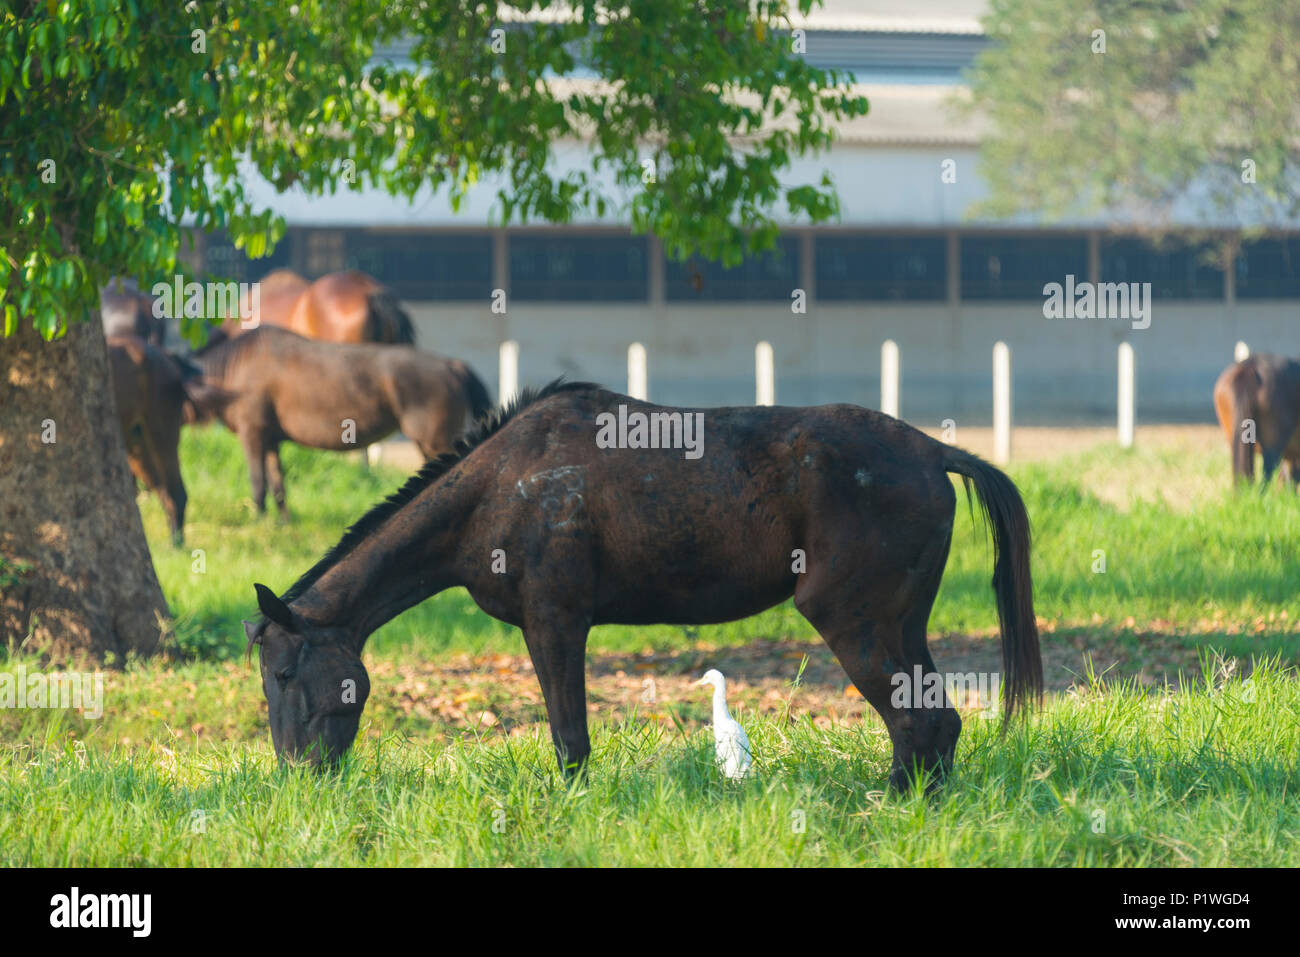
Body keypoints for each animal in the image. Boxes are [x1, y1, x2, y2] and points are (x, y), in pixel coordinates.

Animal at [190, 327, 492, 518]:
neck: (236, 368)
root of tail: (452, 365)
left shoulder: (252, 433)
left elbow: (258, 483)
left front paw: (259, 521)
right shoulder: (271, 440)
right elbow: (278, 485)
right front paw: (282, 524)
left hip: (436, 442)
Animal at [244, 380, 1043, 792]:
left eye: (283, 672)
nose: (296, 778)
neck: (501, 485)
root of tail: (933, 452)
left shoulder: (555, 622)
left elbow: (570, 737)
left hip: (852, 621)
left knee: (918, 723)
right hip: (901, 626)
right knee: (936, 724)